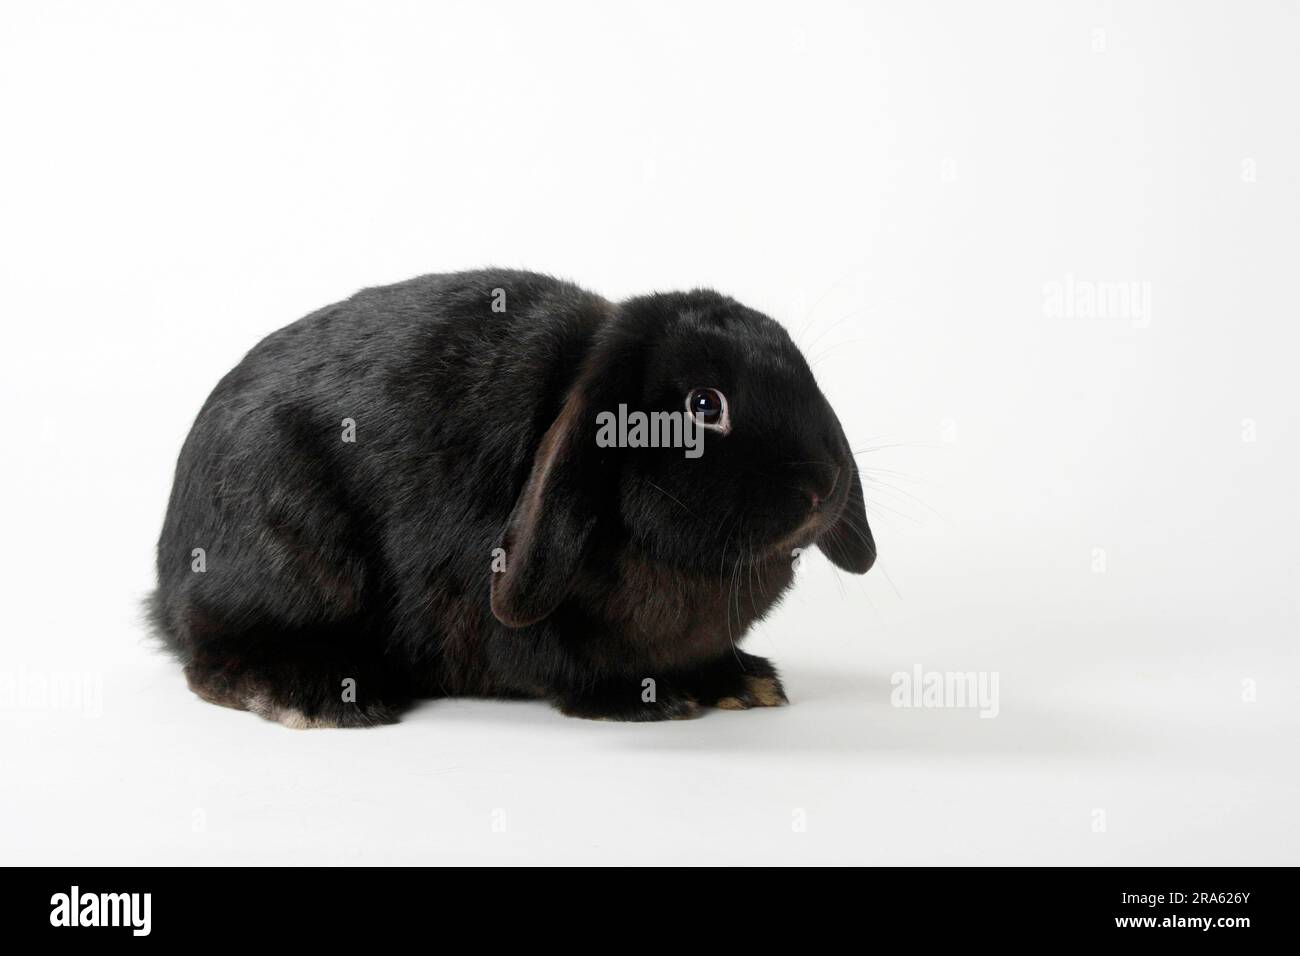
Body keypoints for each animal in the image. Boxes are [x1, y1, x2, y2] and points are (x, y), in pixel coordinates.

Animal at [148, 269, 875, 727]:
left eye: (803, 372)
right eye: (704, 405)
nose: (824, 484)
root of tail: (167, 577)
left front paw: (741, 680)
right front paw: (651, 699)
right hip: (292, 558)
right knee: (212, 658)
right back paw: (320, 697)